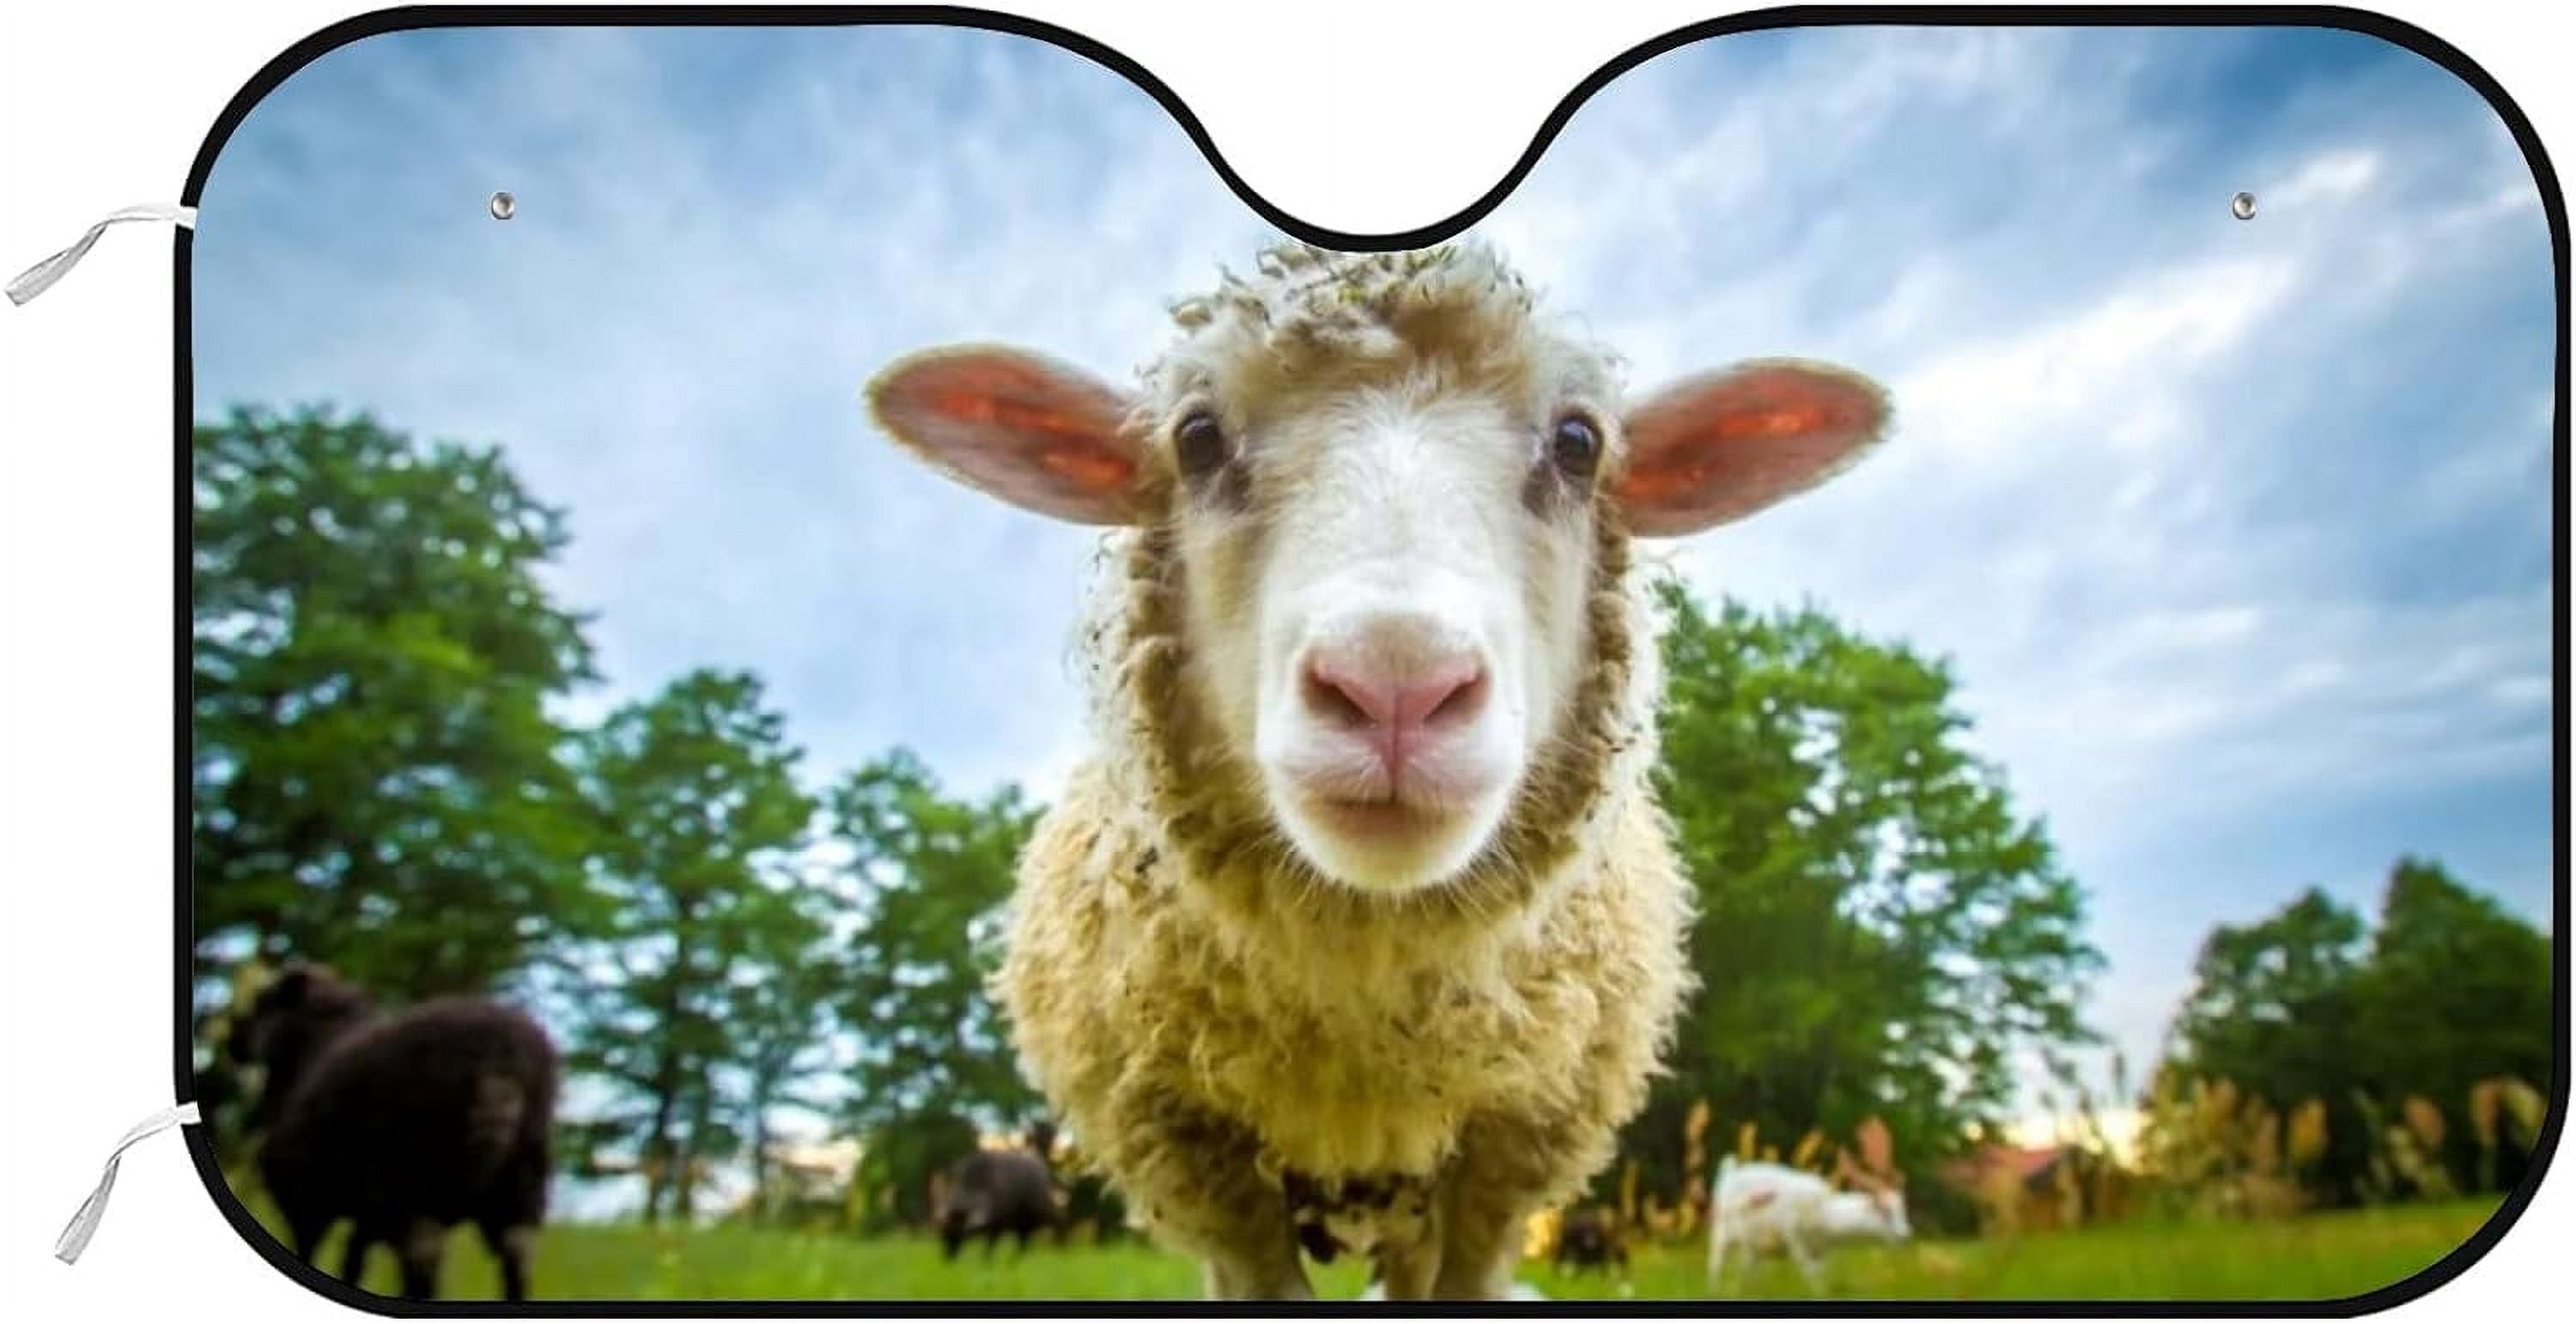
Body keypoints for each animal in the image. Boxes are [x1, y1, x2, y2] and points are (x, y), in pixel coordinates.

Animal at [229, 961, 559, 1301]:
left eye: (264, 1002)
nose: (233, 1043)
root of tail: (498, 1060)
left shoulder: (303, 1201)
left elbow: (312, 1252)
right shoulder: (365, 1211)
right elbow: (353, 1260)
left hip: (414, 1181)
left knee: (424, 1263)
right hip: (522, 1184)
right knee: (517, 1258)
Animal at [864, 238, 1891, 1300]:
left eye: (1579, 443)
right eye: (1195, 439)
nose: (1397, 681)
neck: (1361, 1016)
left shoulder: (1507, 1158)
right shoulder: (1198, 1163)